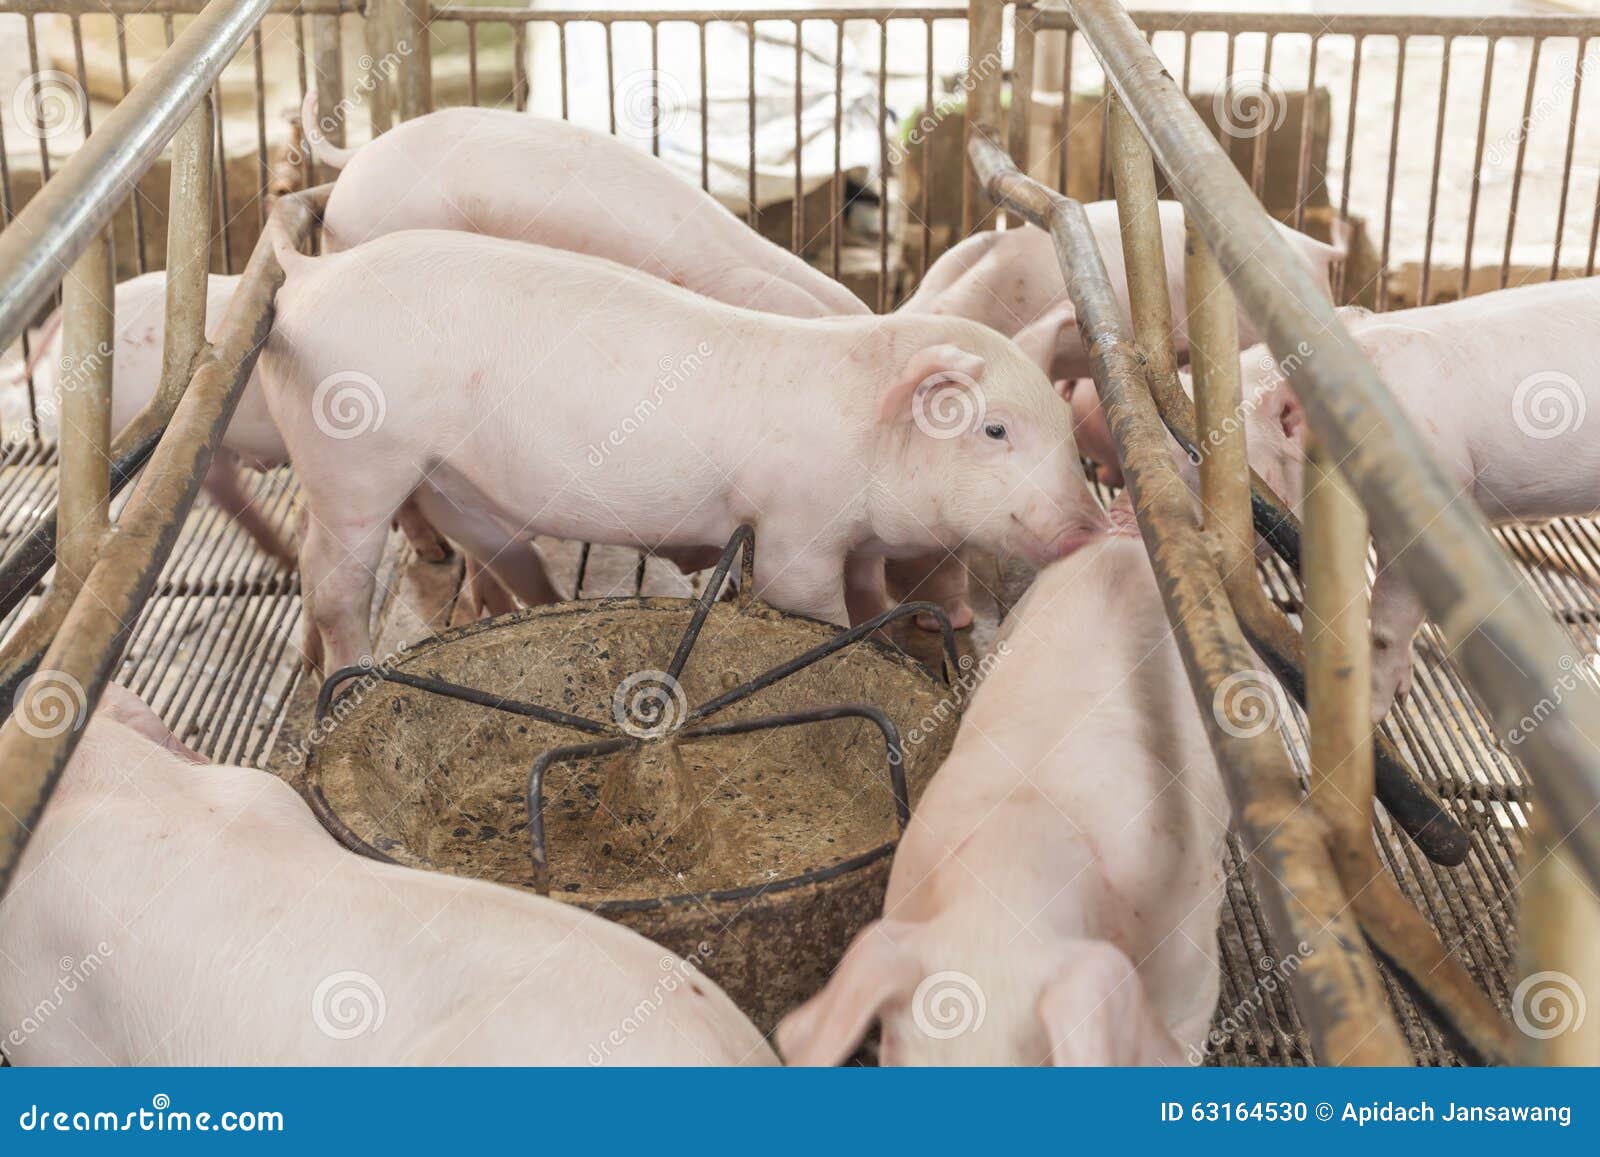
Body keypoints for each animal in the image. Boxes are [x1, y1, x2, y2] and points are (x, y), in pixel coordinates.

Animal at [260, 226, 1110, 673]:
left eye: (1066, 432)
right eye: (995, 430)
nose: (1092, 528)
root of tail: (309, 272)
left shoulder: (861, 539)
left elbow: (870, 589)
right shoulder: (795, 526)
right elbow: (810, 599)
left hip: (445, 475)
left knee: (490, 547)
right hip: (355, 461)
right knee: (329, 577)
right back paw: (351, 671)